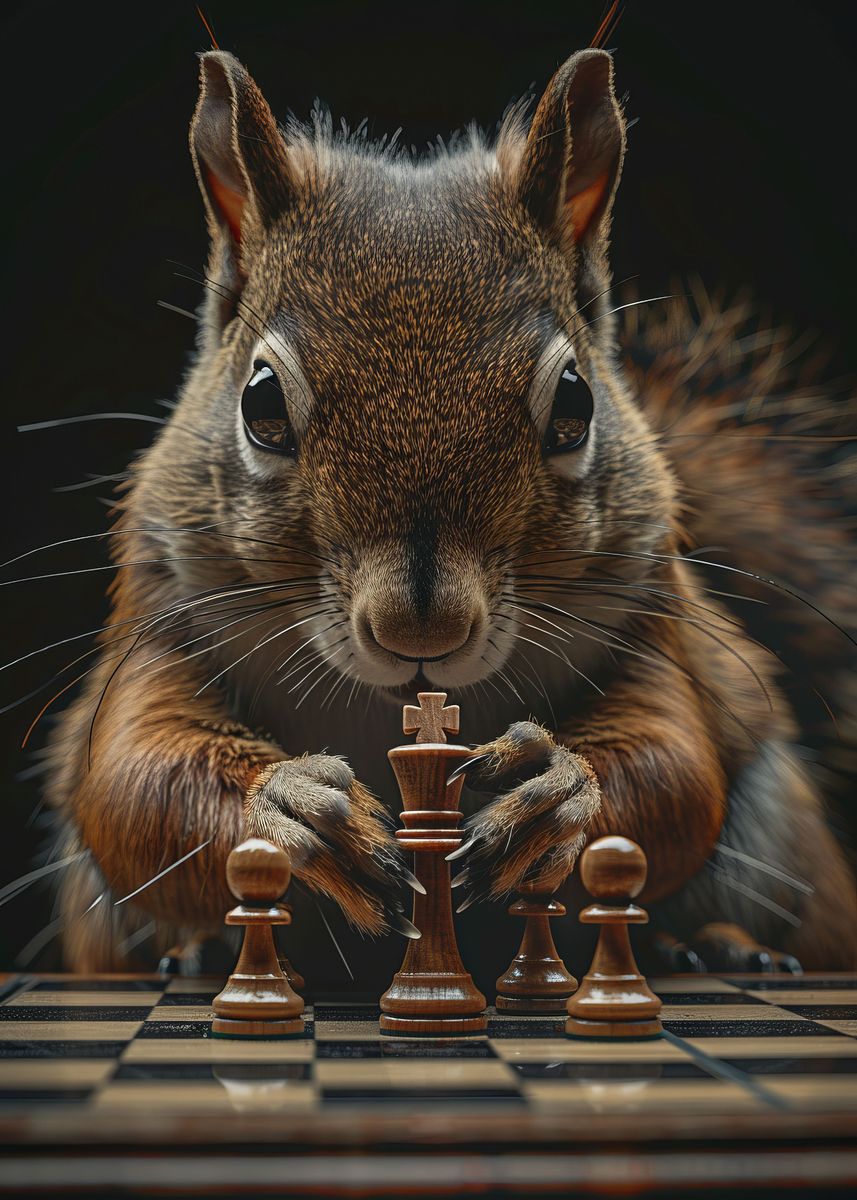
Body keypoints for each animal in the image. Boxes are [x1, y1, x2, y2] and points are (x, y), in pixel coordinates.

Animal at [42, 46, 857, 982]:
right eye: (260, 403)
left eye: (574, 400)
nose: (419, 631)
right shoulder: (160, 621)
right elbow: (133, 779)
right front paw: (293, 809)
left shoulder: (653, 625)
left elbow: (674, 764)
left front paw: (555, 794)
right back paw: (200, 952)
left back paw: (716, 947)